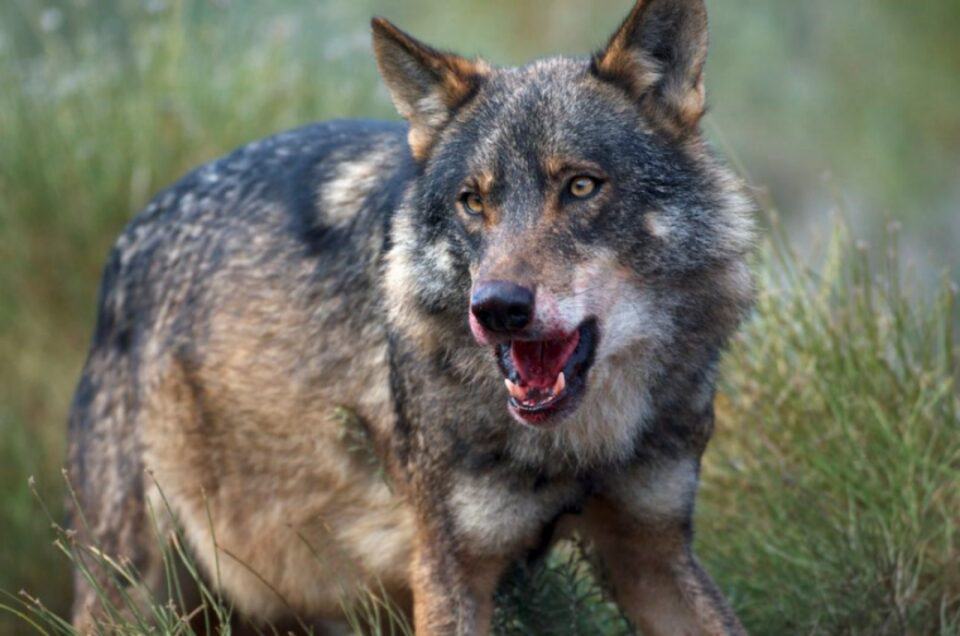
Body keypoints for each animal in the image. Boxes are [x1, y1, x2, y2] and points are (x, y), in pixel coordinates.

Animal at [66, 0, 756, 633]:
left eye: (581, 186)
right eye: (473, 202)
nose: (497, 309)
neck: (580, 448)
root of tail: (128, 240)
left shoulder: (653, 551)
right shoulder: (448, 566)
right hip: (136, 582)